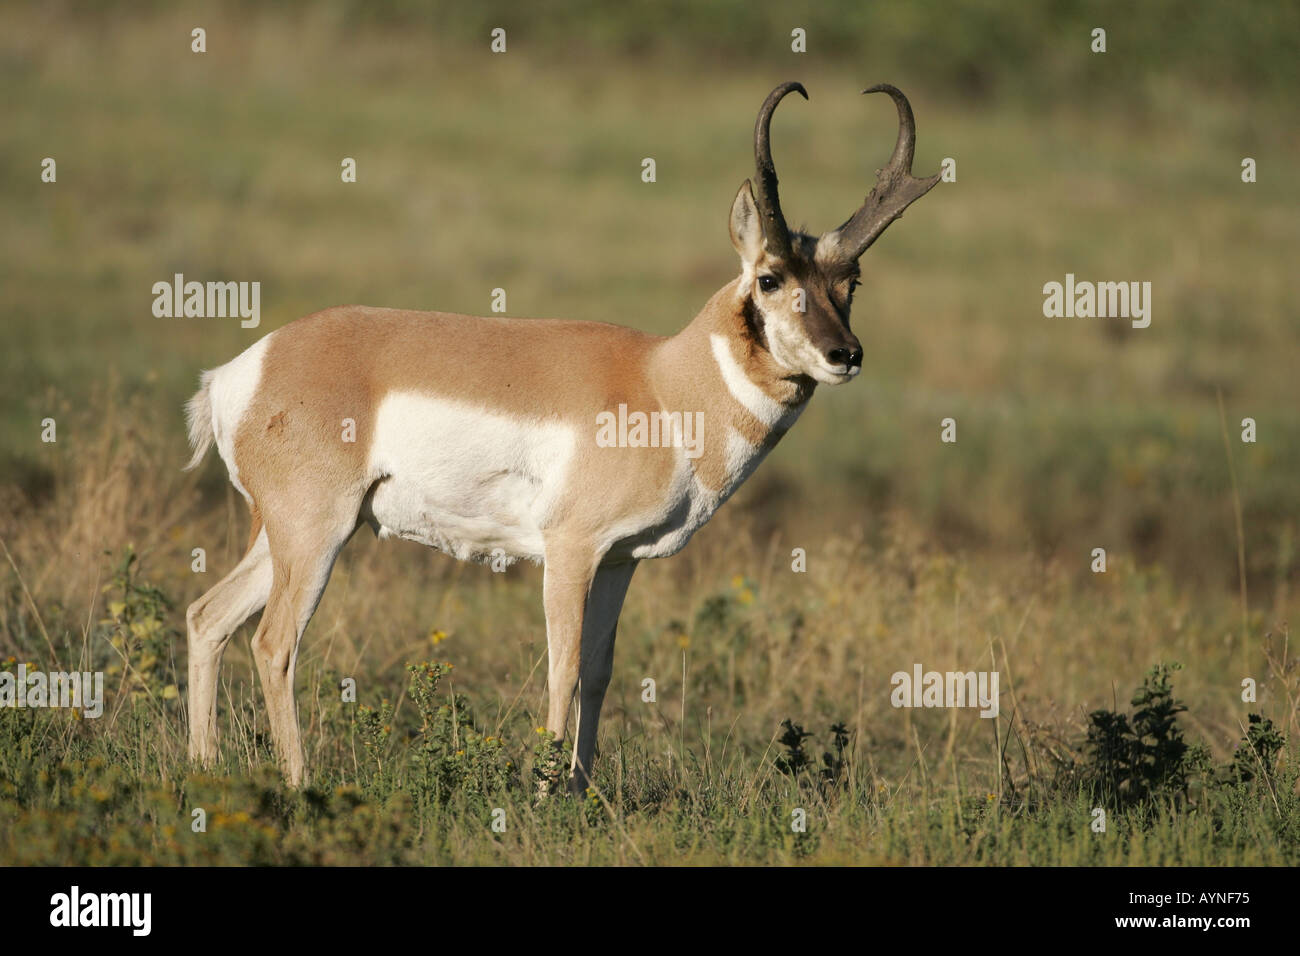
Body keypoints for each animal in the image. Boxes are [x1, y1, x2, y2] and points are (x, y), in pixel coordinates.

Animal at [182, 81, 940, 792]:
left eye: (851, 280)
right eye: (771, 278)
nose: (846, 355)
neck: (663, 384)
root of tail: (240, 371)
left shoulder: (621, 561)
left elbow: (600, 672)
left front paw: (579, 789)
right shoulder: (571, 551)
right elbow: (564, 669)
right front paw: (545, 791)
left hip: (286, 536)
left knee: (207, 615)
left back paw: (205, 766)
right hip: (317, 533)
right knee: (273, 642)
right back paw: (301, 781)